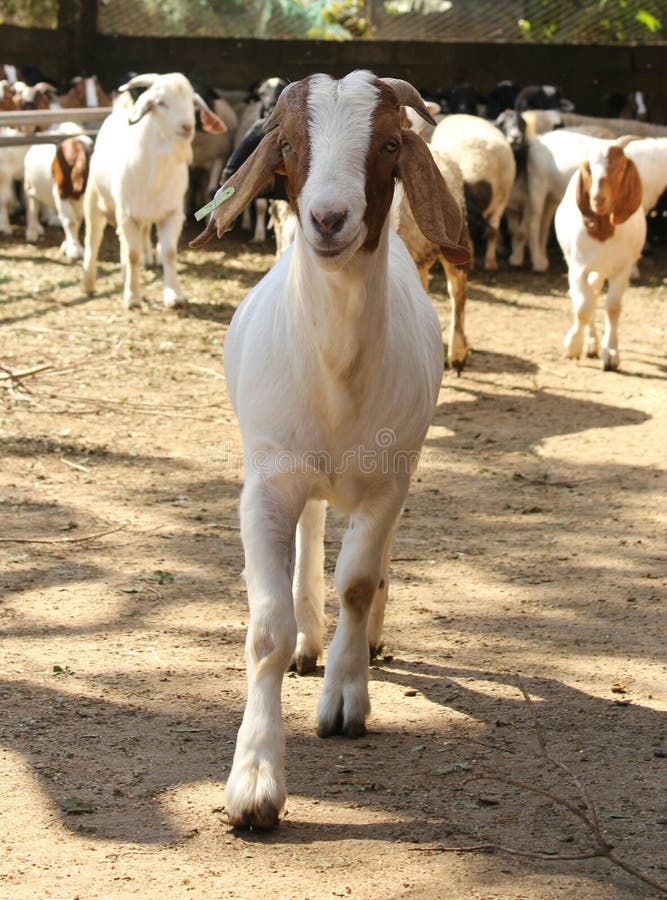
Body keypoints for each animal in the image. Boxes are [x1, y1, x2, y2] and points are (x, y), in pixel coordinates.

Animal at [83, 72, 224, 309]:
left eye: (192, 102)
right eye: (160, 103)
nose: (186, 127)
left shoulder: (172, 214)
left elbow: (169, 253)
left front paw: (173, 295)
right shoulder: (127, 215)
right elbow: (133, 255)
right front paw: (132, 296)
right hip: (95, 201)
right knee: (93, 240)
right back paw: (89, 283)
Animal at [190, 70, 469, 830]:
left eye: (390, 144)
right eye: (288, 144)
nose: (327, 219)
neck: (339, 379)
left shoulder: (388, 484)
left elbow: (358, 582)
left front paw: (346, 697)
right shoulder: (266, 485)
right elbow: (266, 628)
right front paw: (254, 781)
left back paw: (360, 641)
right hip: (303, 479)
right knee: (312, 531)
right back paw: (310, 641)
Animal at [555, 141, 645, 371]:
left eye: (620, 168)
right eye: (589, 169)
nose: (597, 198)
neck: (604, 231)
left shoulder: (623, 268)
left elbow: (613, 306)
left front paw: (611, 353)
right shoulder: (577, 268)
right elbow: (582, 307)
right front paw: (573, 346)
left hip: (603, 269)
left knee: (594, 292)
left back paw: (594, 343)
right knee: (588, 296)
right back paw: (590, 342)